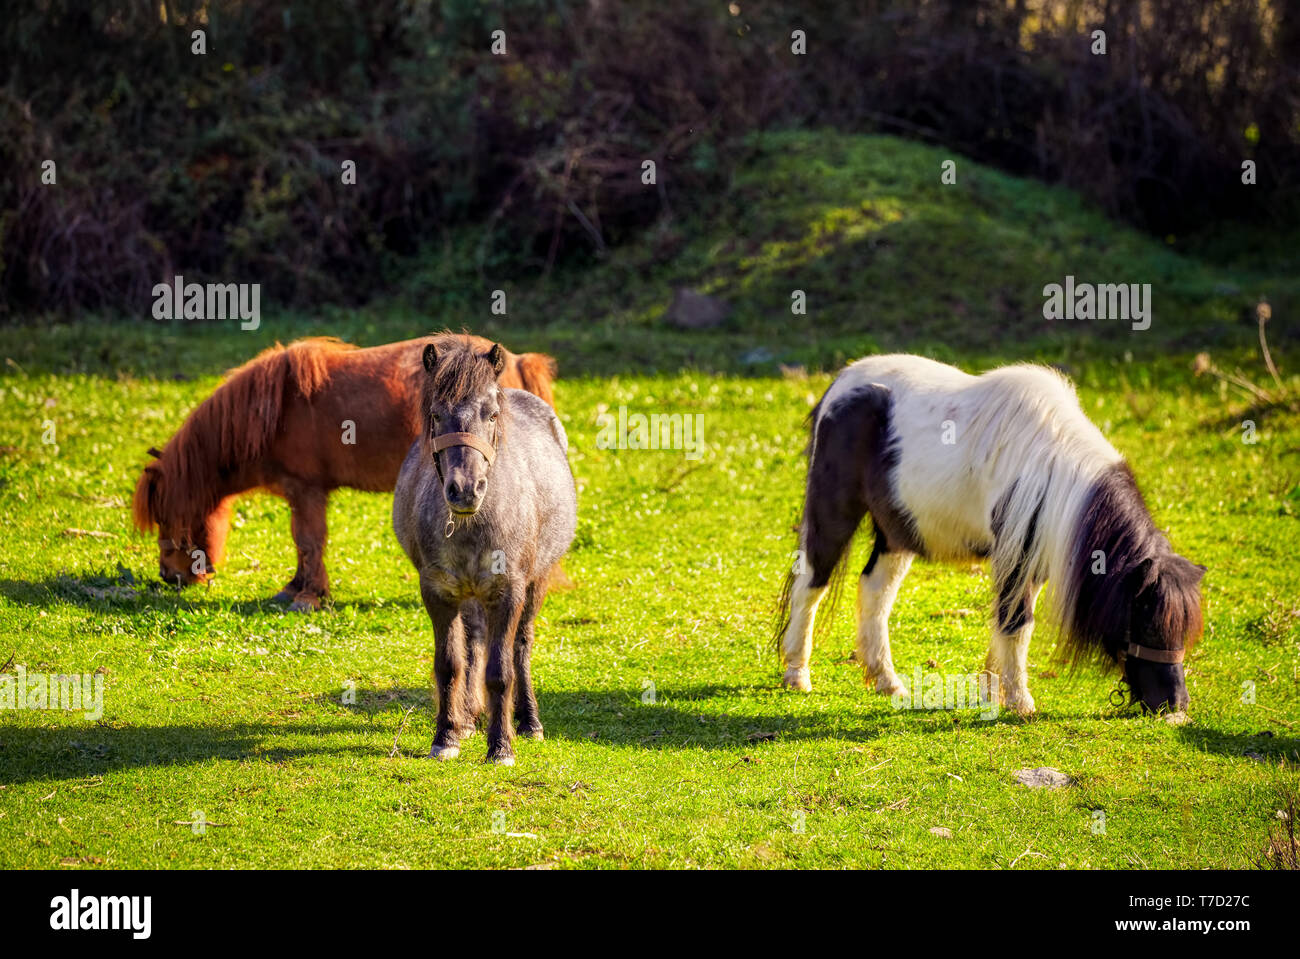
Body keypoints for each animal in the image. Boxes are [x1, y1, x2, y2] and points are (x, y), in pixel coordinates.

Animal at [133, 334, 557, 611]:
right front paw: (295, 588)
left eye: (167, 517)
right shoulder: (301, 494)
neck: (276, 409)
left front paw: (308, 596)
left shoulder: (306, 491)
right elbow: (303, 543)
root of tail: (516, 361)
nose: (171, 576)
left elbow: (308, 540)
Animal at [392, 336, 576, 765]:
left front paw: (501, 746)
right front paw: (446, 736)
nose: (465, 489)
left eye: (491, 415)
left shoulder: (507, 592)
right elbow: (449, 664)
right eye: (436, 415)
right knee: (473, 643)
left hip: (536, 581)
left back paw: (528, 721)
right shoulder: (438, 593)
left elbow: (500, 670)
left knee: (521, 644)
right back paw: (467, 719)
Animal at [774, 354, 1205, 716]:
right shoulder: (1015, 559)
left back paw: (886, 680)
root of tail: (841, 384)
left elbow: (1010, 627)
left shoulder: (1033, 563)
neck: (1054, 469)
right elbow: (1016, 625)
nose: (1175, 706)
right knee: (811, 585)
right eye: (1147, 621)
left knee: (875, 591)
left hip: (898, 533)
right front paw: (1019, 702)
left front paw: (993, 690)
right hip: (834, 515)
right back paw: (797, 674)